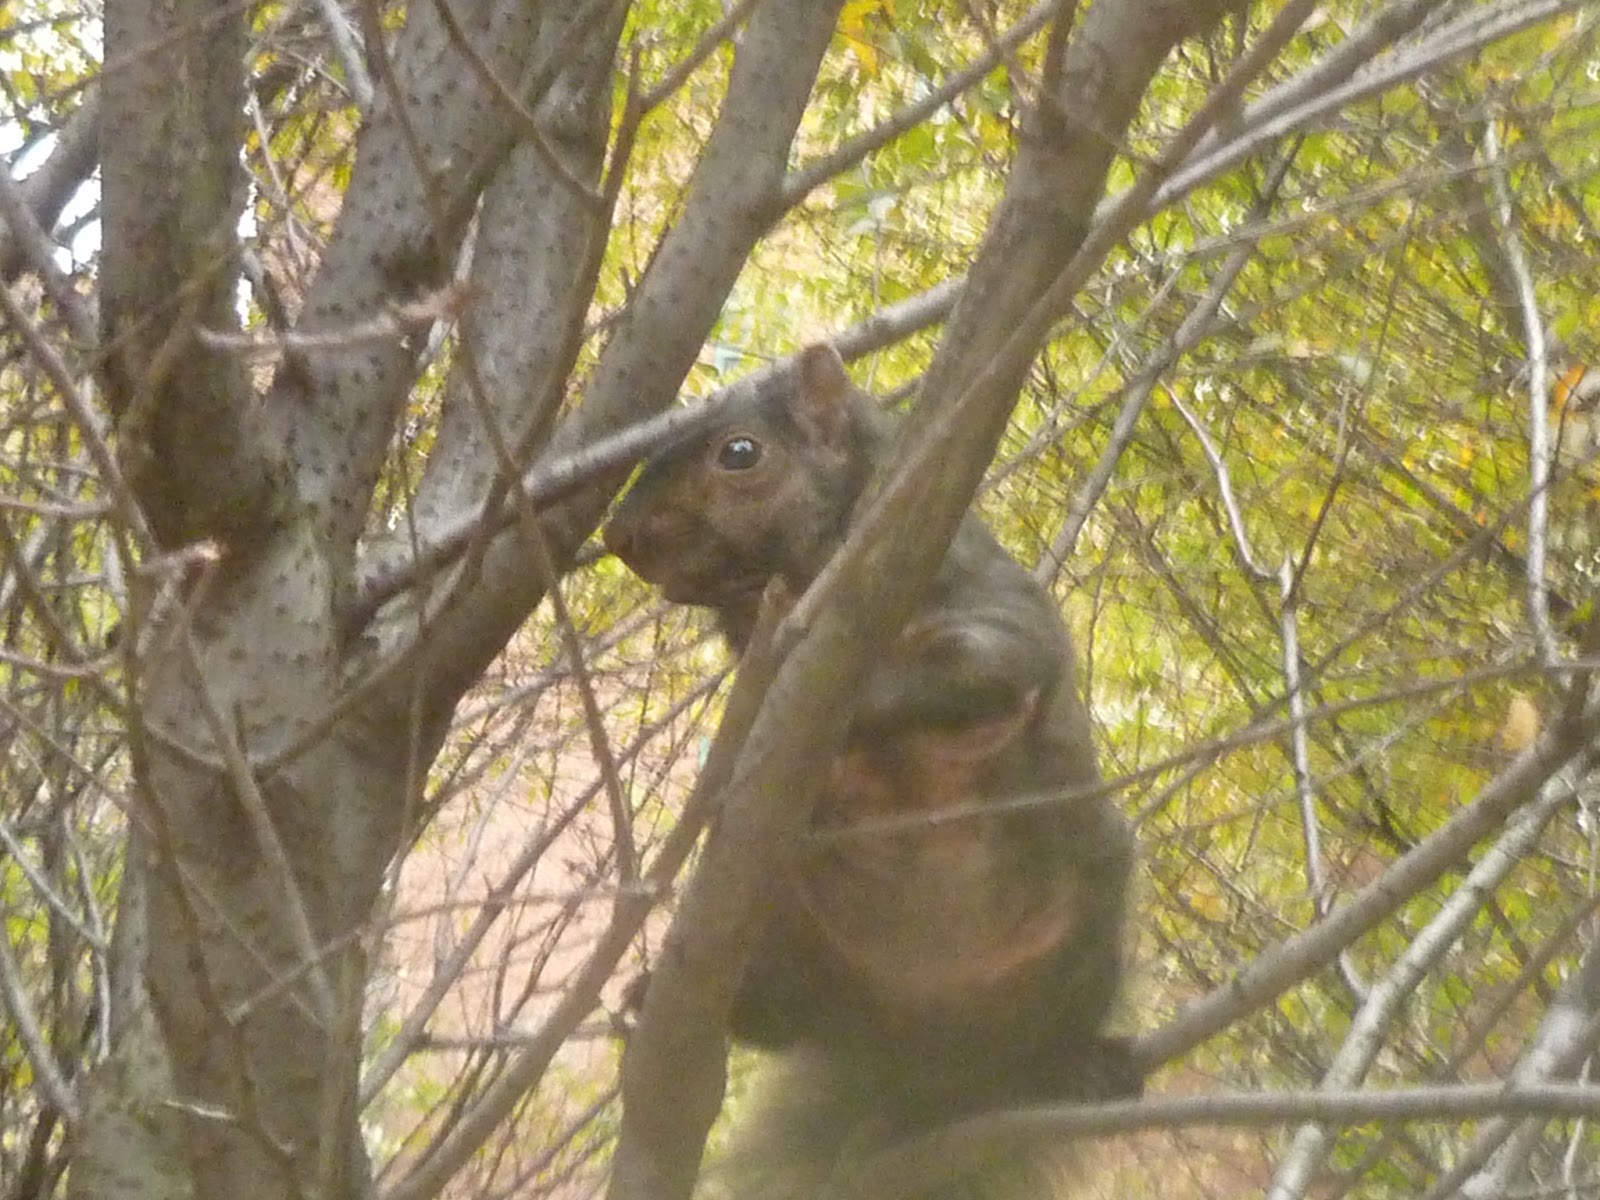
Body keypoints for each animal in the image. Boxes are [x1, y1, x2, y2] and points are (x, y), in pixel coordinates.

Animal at [603, 344, 1138, 1198]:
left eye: (740, 453)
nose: (617, 533)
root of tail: (908, 1056)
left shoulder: (987, 612)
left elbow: (982, 669)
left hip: (1082, 940)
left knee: (1023, 1055)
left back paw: (1076, 1068)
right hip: (787, 937)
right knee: (786, 1016)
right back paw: (678, 997)